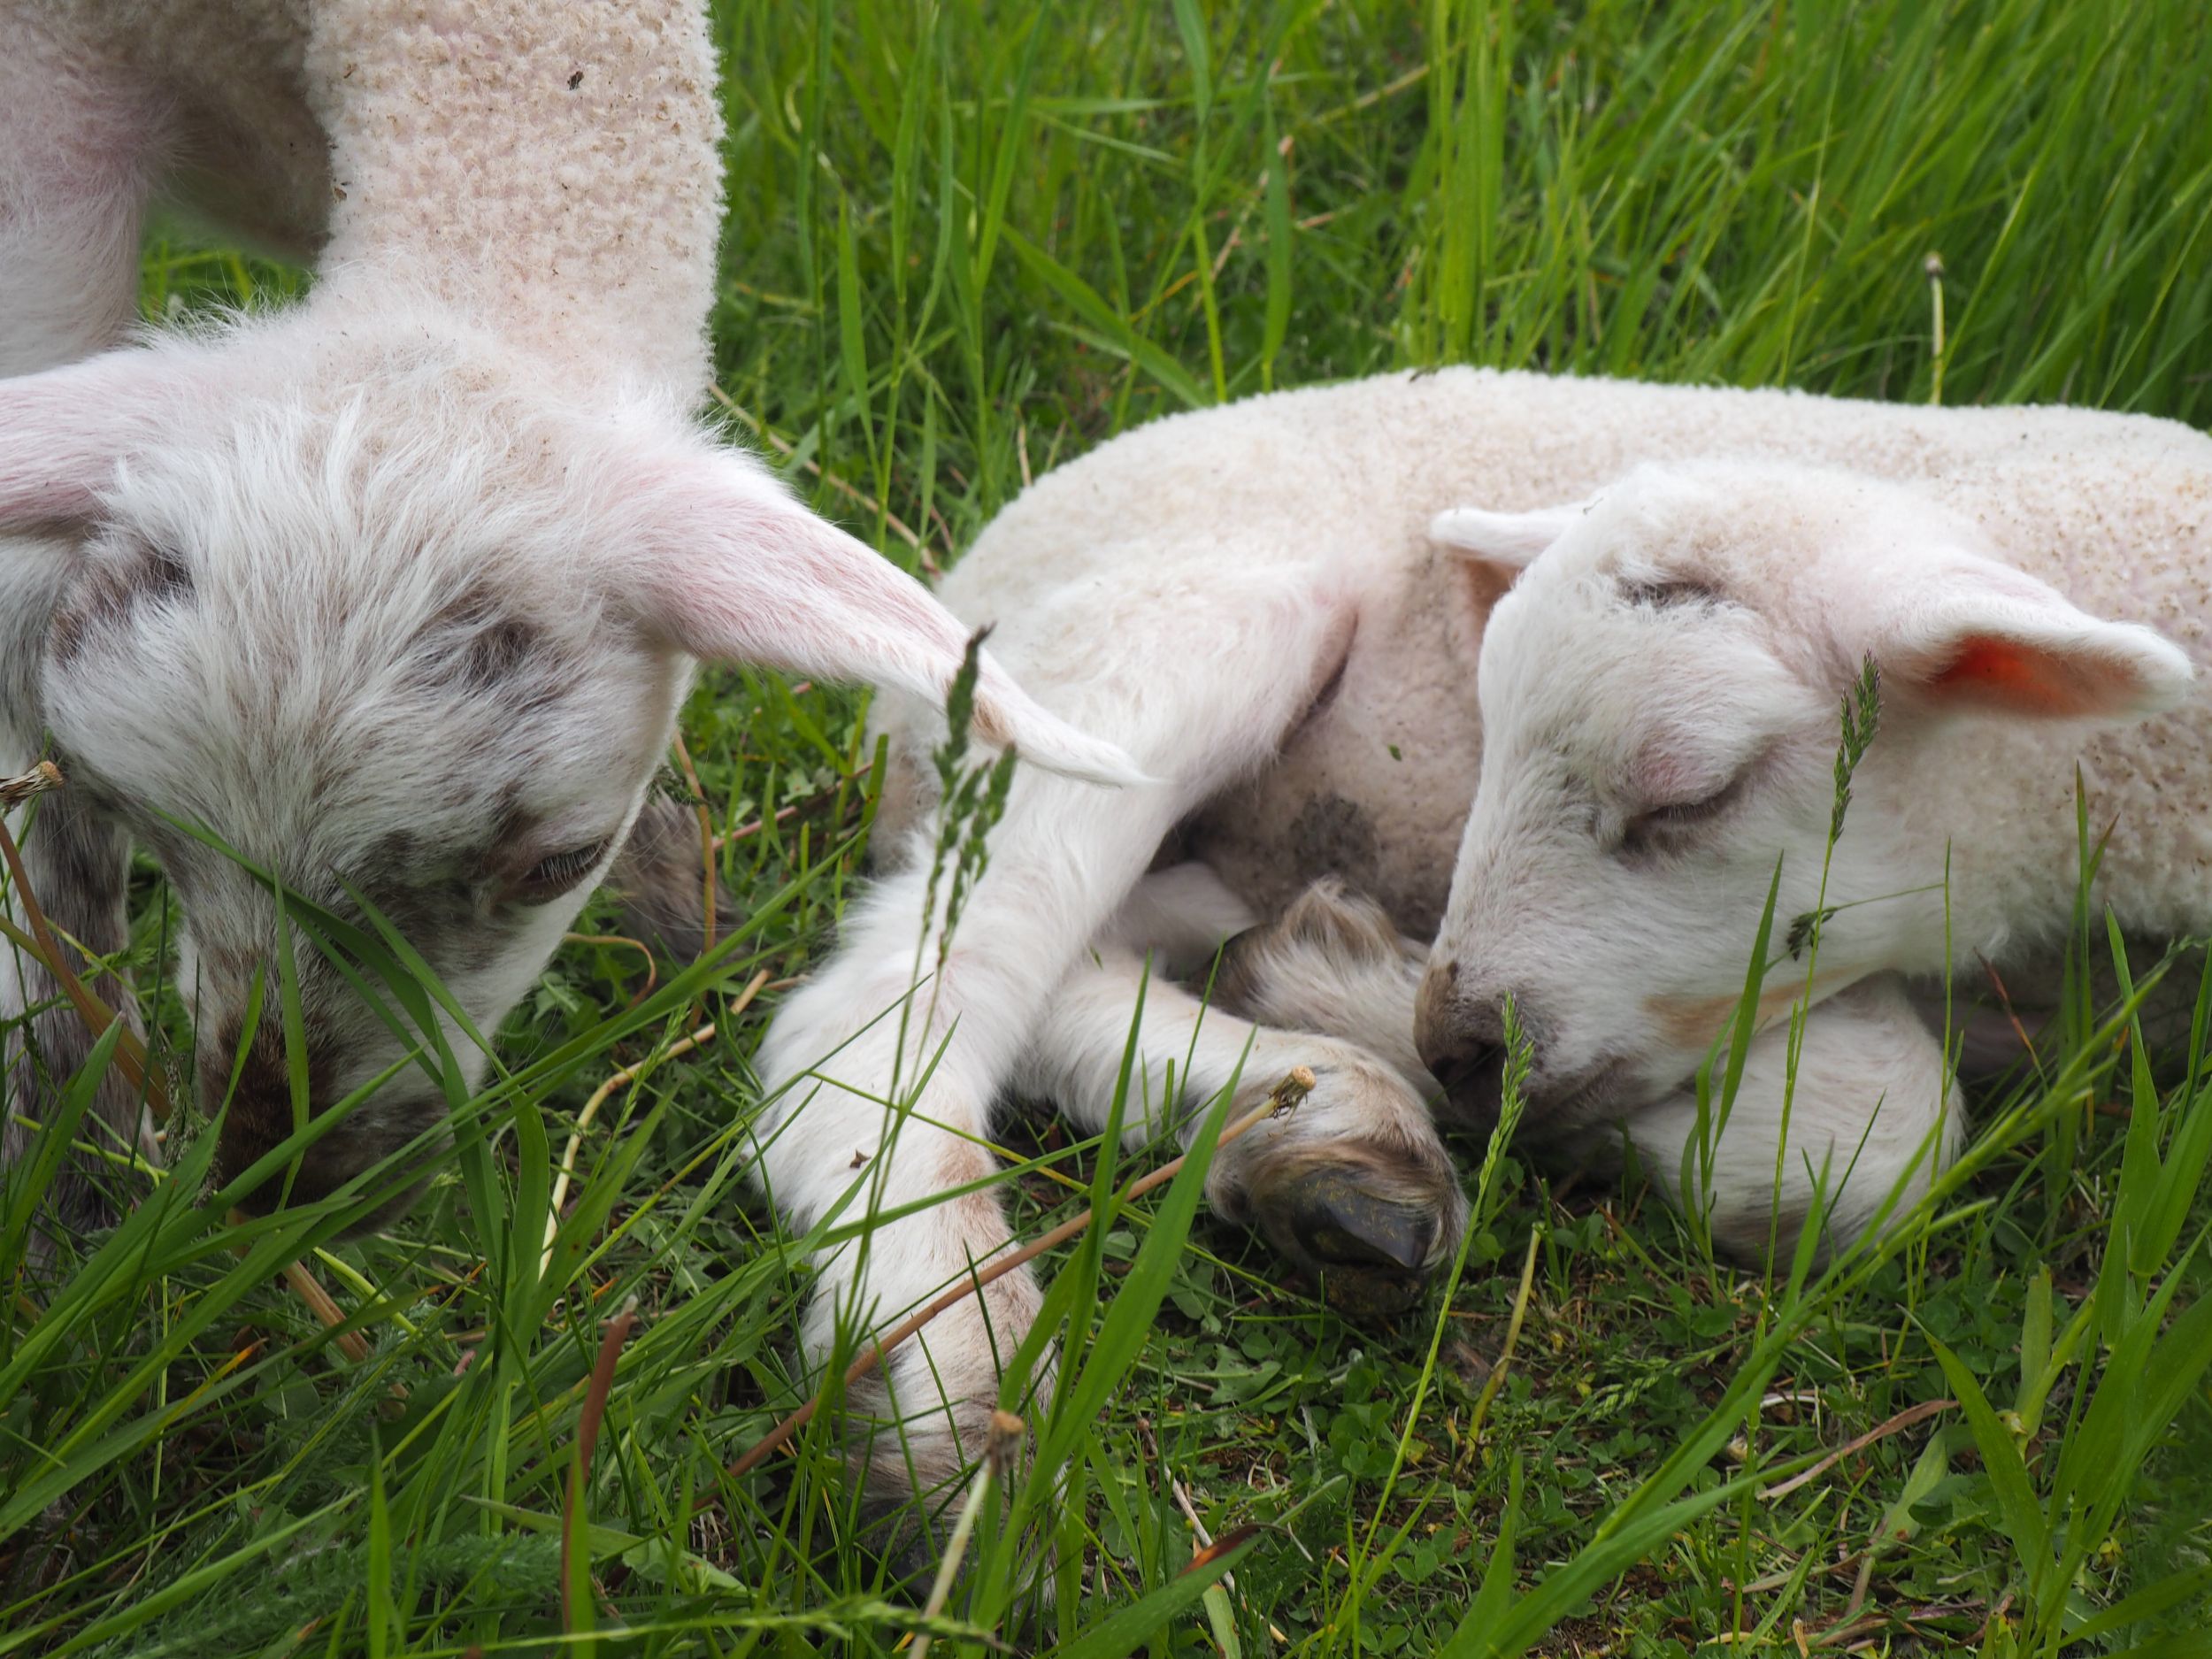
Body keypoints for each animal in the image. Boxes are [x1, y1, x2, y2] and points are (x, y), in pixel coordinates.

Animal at [752, 366, 2044, 1521]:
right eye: (1696, 793)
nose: (1461, 1046)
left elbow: (1877, 1129)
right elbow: (1892, 1129)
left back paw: (1313, 1129)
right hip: (1163, 644)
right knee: (884, 1002)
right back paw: (961, 1401)